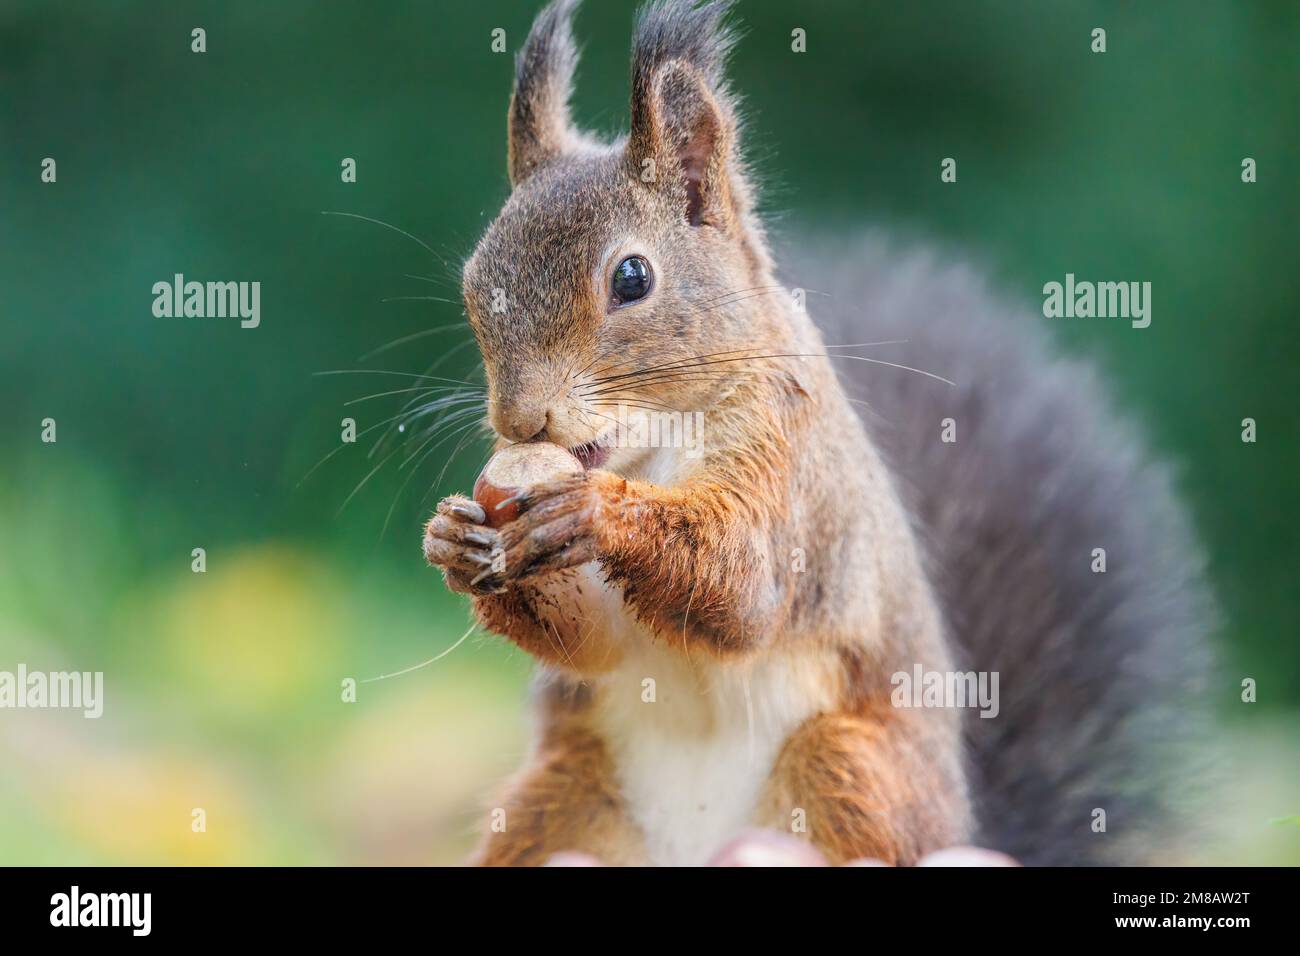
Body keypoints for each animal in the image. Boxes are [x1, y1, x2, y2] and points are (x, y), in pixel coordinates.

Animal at [422, 0, 1211, 866]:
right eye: (472, 284)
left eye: (632, 278)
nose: (520, 420)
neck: (655, 448)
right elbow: (592, 641)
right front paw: (454, 537)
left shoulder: (789, 457)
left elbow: (744, 578)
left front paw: (594, 511)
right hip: (560, 800)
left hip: (850, 767)